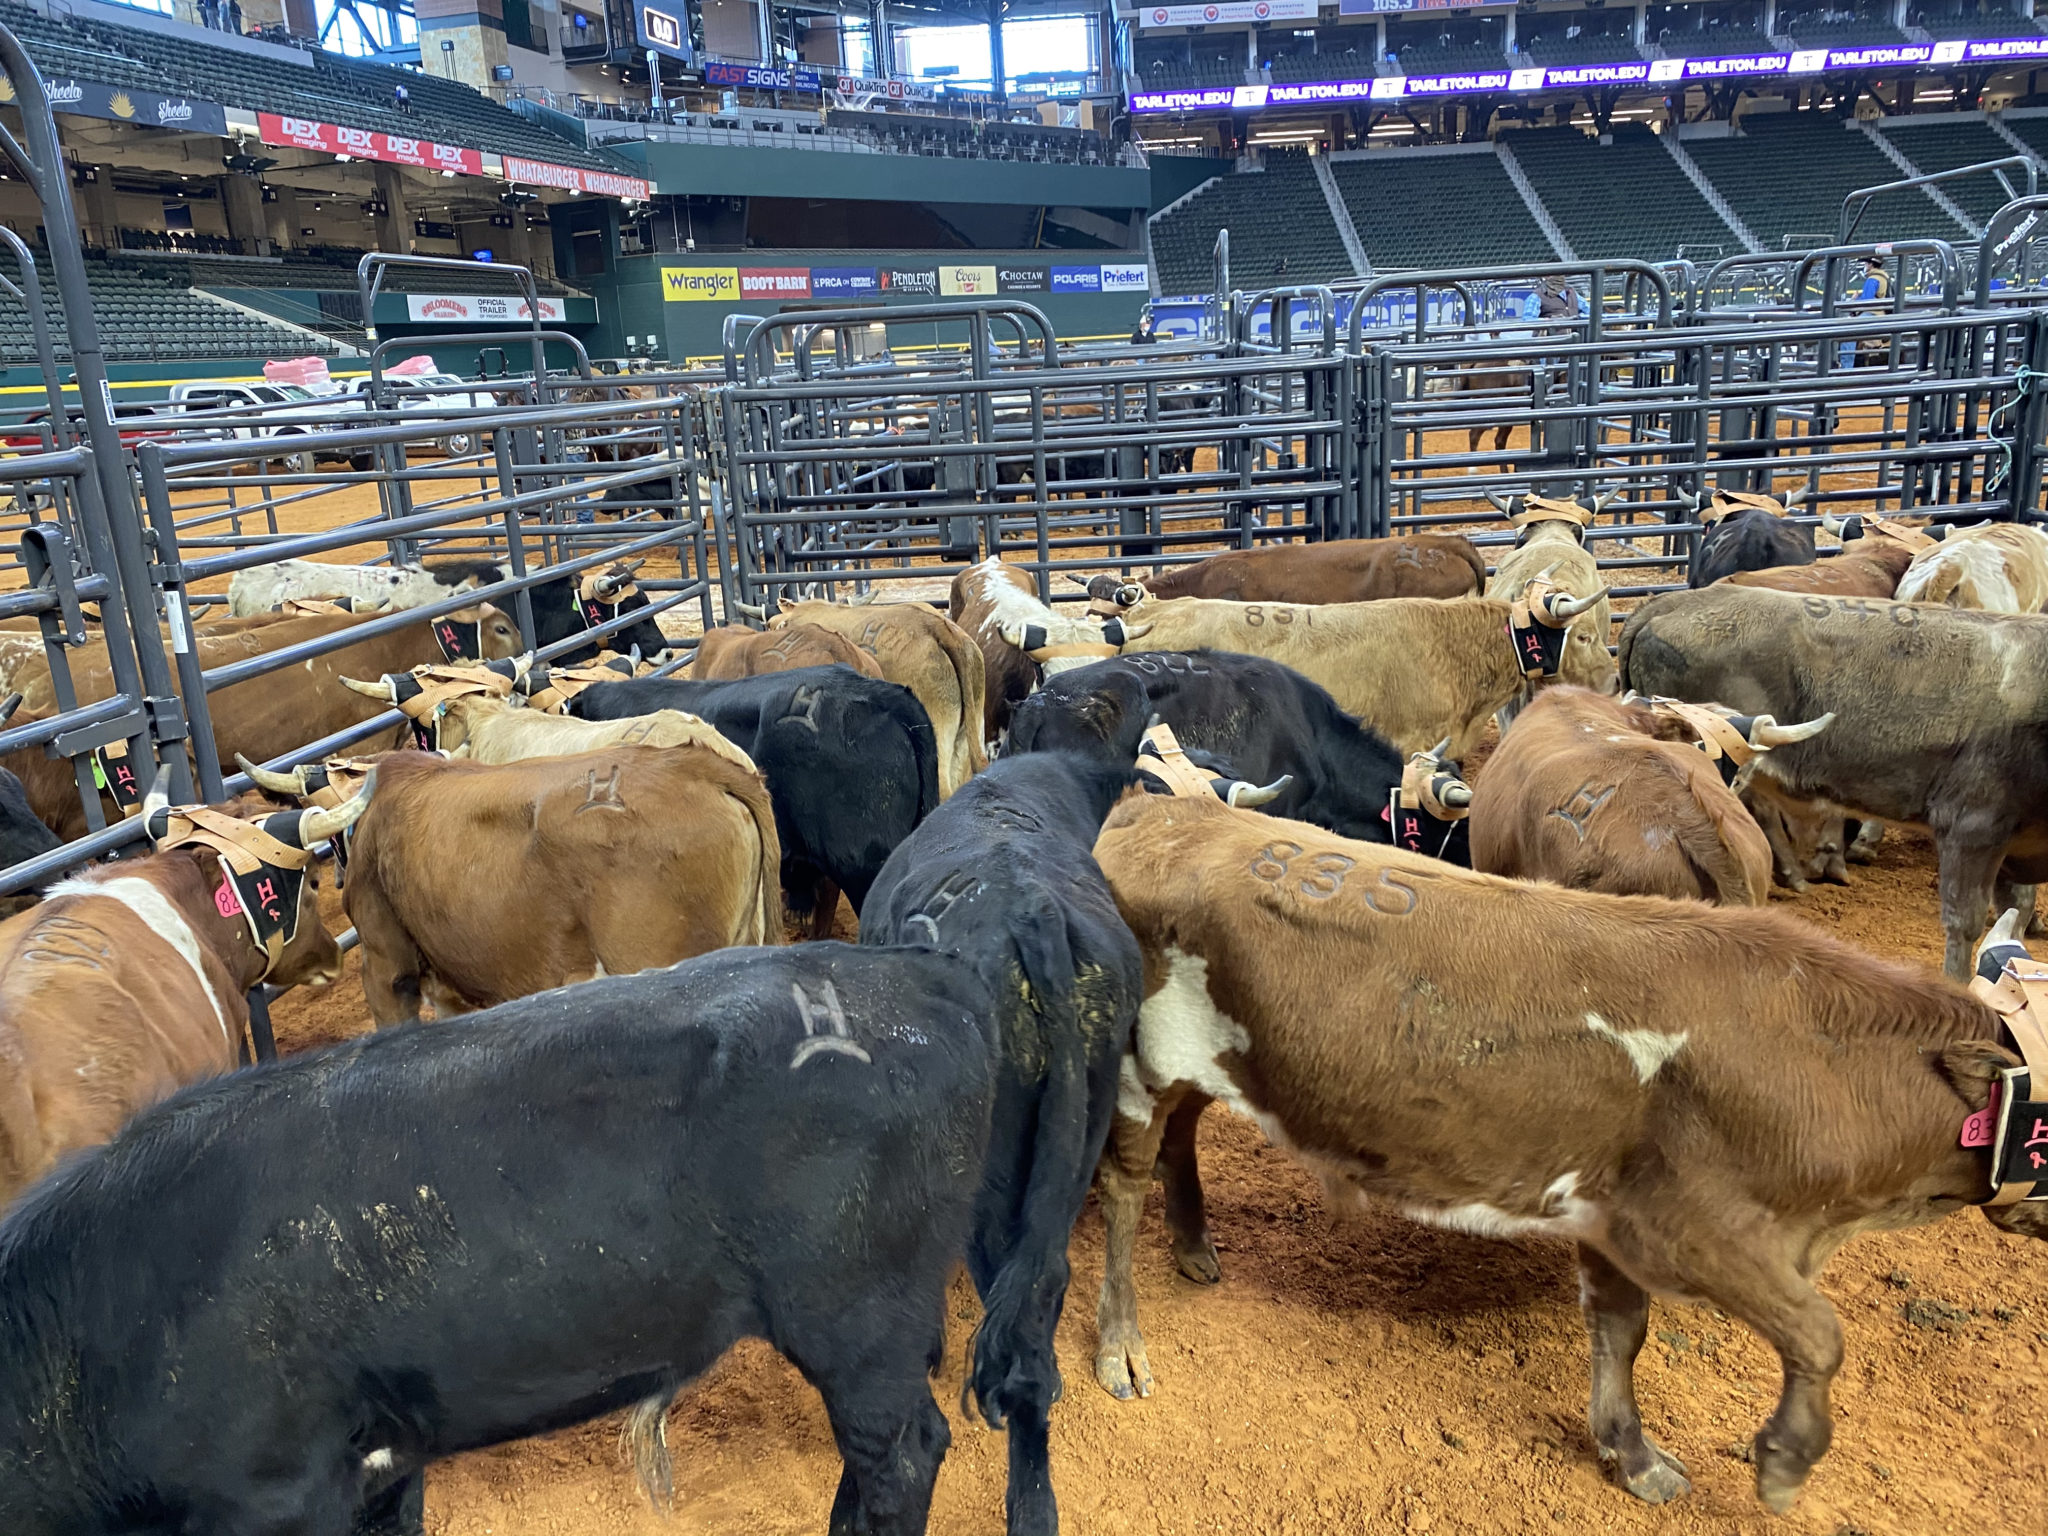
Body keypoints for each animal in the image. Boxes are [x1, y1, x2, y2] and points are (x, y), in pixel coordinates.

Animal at [1087, 790, 2048, 1513]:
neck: (1816, 1053)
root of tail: (1161, 808)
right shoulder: (1690, 1230)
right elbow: (1820, 1334)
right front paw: (1783, 1462)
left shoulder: (1609, 1213)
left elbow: (1621, 1333)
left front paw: (1631, 1452)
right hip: (1135, 1068)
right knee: (1124, 1190)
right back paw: (1121, 1343)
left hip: (1204, 1063)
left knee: (1182, 1136)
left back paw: (1195, 1244)